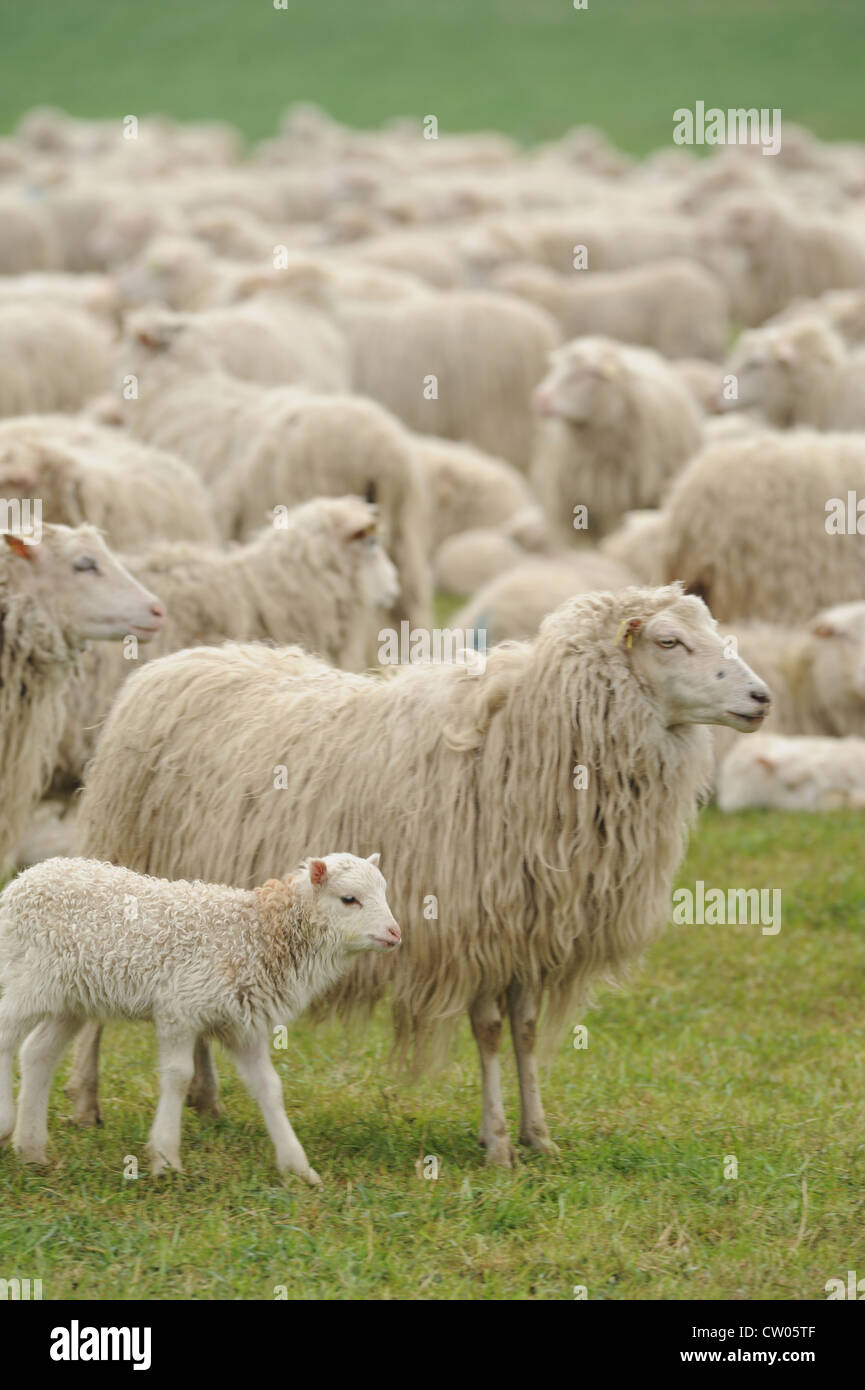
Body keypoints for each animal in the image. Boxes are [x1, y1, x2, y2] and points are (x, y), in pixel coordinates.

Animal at [0, 853, 400, 1177]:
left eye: (383, 892)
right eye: (349, 899)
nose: (395, 933)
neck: (259, 932)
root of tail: (23, 880)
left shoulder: (243, 1024)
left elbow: (269, 1088)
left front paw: (298, 1167)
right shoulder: (179, 1010)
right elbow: (179, 1076)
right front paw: (166, 1159)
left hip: (73, 997)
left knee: (37, 1052)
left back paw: (32, 1149)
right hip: (28, 977)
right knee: (6, 1034)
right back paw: (6, 1124)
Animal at [71, 586, 771, 1156]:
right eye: (669, 641)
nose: (762, 698)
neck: (530, 738)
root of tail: (168, 665)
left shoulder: (524, 928)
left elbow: (524, 1032)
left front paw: (538, 1135)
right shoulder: (474, 926)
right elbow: (489, 1033)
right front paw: (497, 1142)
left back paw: (207, 1101)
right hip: (123, 872)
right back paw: (85, 1103)